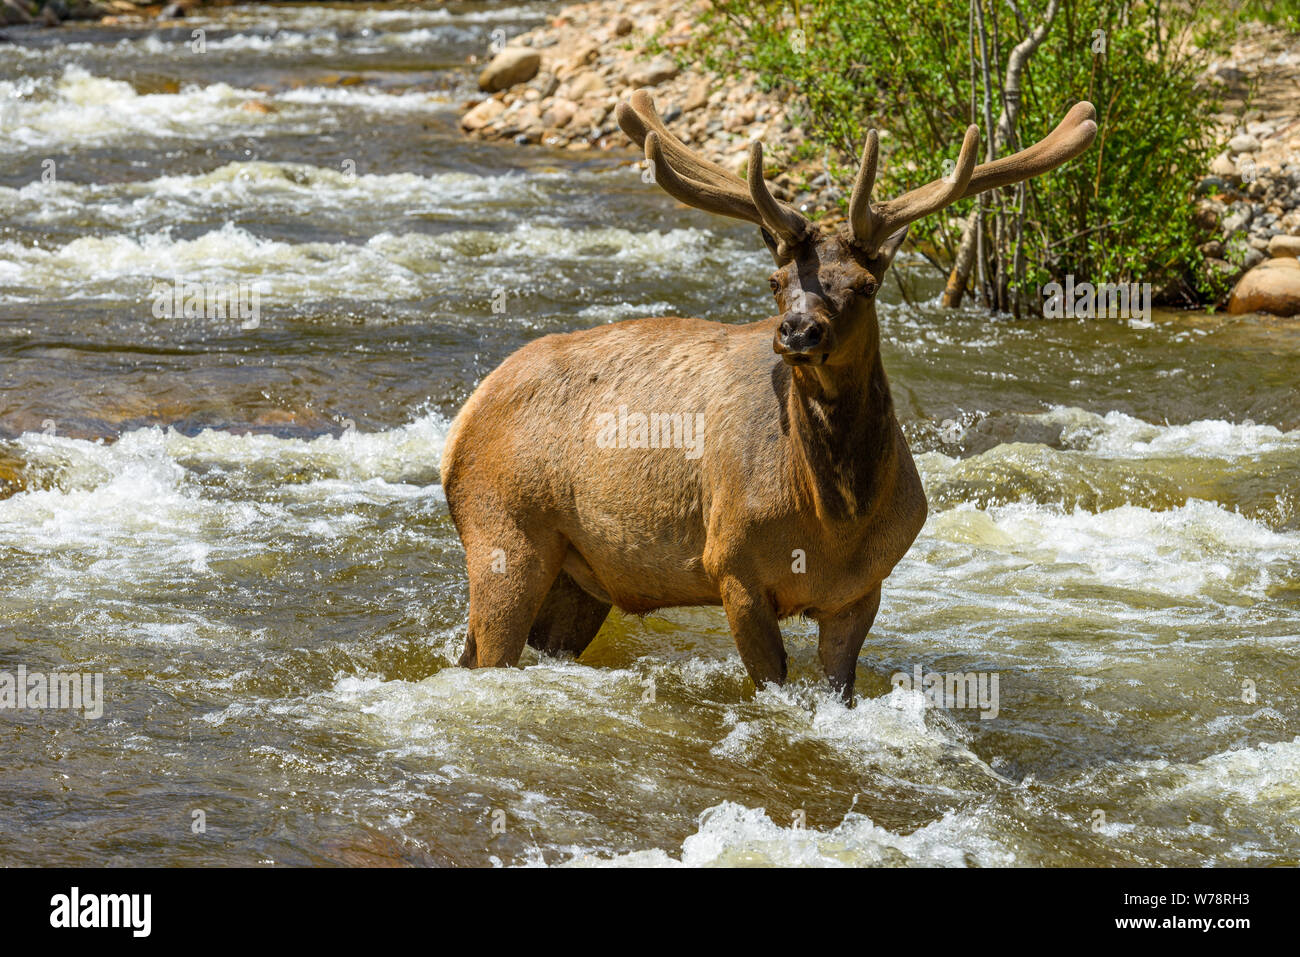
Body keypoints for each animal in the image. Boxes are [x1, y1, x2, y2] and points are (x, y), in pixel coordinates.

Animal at [440, 89, 1097, 701]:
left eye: (865, 285)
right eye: (776, 281)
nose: (798, 331)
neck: (834, 522)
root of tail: (463, 418)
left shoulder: (862, 590)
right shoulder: (733, 568)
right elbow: (770, 681)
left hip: (579, 578)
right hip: (504, 535)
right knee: (485, 650)